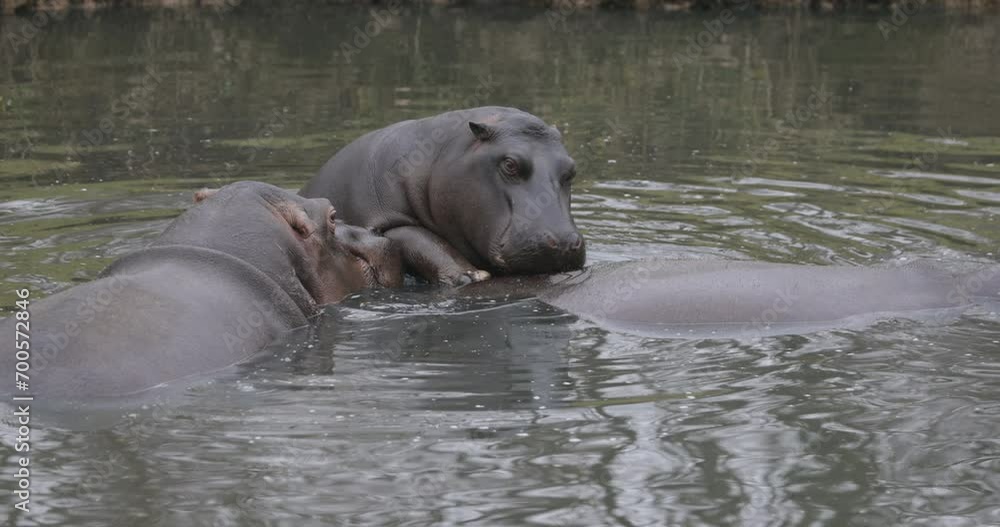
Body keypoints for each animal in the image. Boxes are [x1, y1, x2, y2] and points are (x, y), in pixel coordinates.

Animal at [300, 106, 586, 285]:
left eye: (571, 169)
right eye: (510, 164)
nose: (563, 241)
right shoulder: (385, 217)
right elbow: (423, 240)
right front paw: (471, 275)